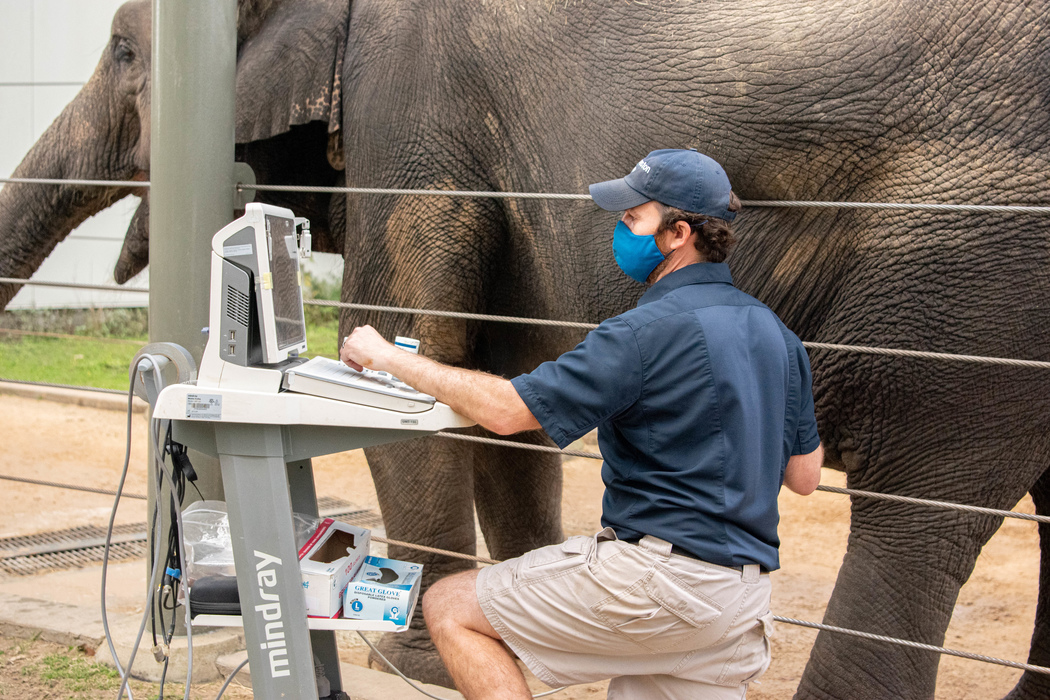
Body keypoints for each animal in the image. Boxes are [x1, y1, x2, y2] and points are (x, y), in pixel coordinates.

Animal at [3, 0, 1050, 698]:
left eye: (124, 50)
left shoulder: (412, 104)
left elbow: (430, 337)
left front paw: (404, 657)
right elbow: (507, 379)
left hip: (975, 268)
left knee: (917, 502)